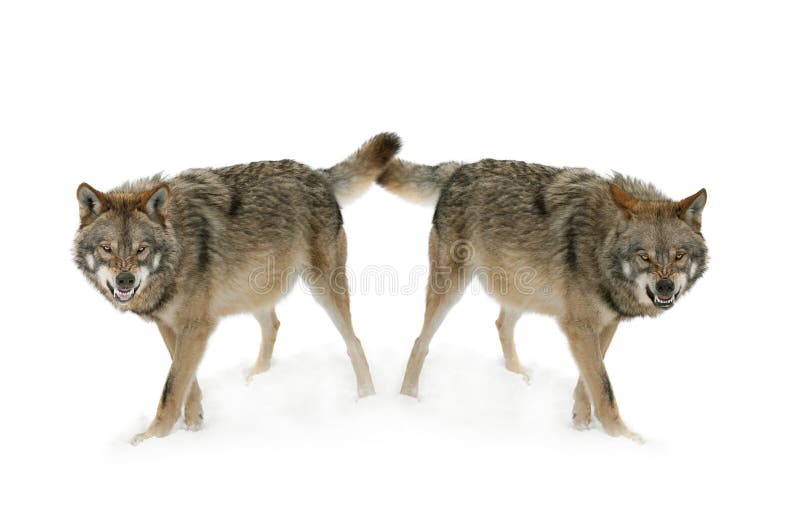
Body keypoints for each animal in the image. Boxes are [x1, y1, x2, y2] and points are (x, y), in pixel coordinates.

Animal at [73, 133, 401, 444]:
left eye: (141, 249)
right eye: (106, 248)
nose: (124, 281)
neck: (178, 248)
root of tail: (317, 174)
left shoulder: (197, 326)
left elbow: (172, 387)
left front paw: (152, 438)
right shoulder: (170, 326)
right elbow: (187, 382)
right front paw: (194, 425)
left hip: (323, 289)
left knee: (353, 341)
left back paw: (366, 397)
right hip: (253, 290)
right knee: (274, 324)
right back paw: (256, 379)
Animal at [378, 157, 708, 440]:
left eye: (679, 256)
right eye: (644, 256)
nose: (665, 287)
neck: (600, 246)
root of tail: (459, 169)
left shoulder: (604, 325)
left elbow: (588, 382)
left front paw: (581, 425)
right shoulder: (578, 326)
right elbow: (604, 390)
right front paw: (624, 438)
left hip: (522, 289)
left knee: (501, 324)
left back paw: (519, 378)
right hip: (451, 289)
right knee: (421, 342)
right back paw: (408, 399)